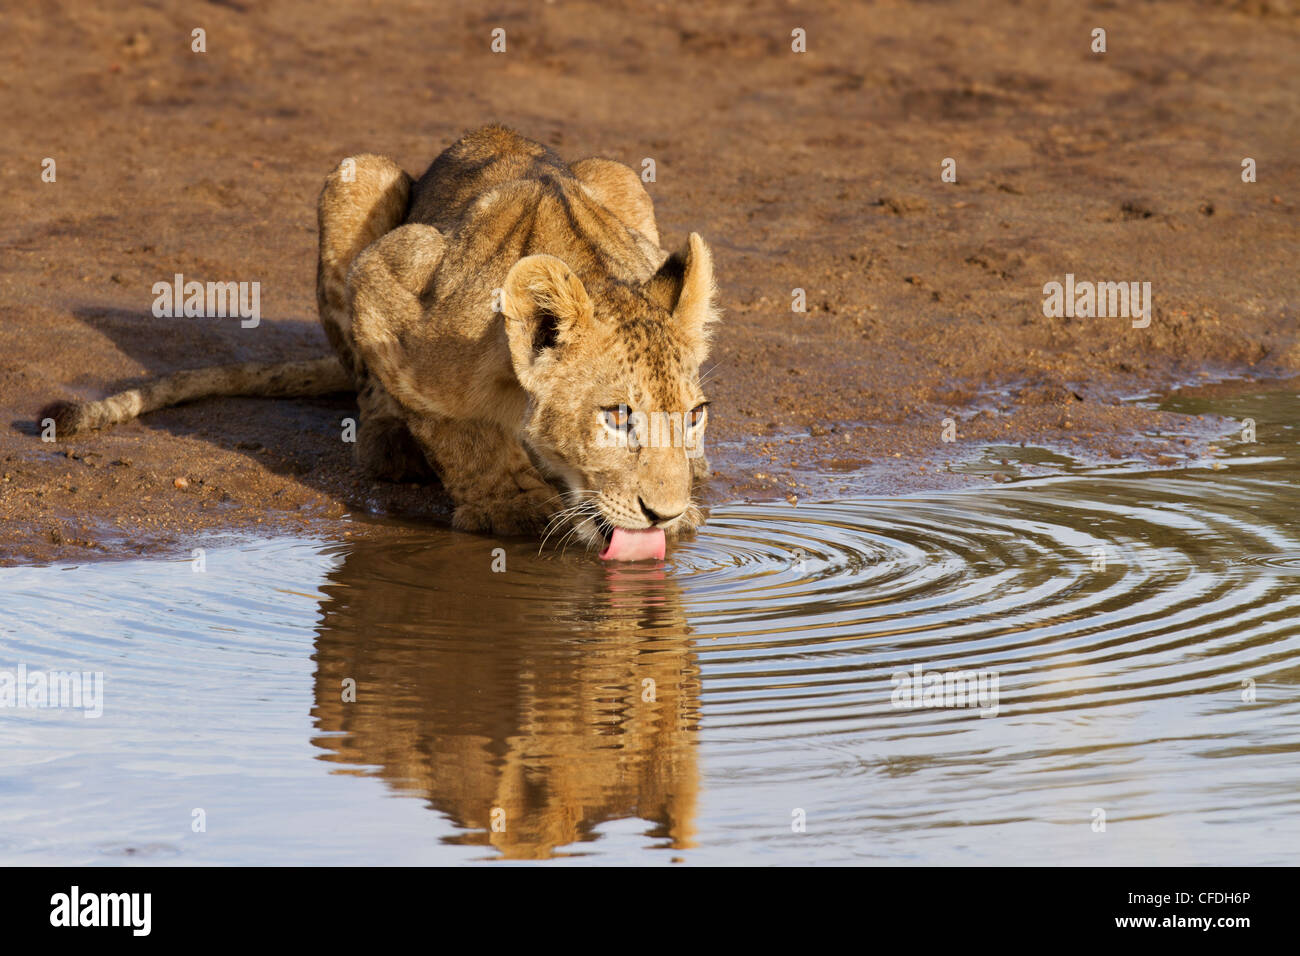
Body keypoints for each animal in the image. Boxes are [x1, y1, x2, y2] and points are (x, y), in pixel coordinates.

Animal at [41, 125, 720, 560]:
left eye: (693, 417)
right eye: (616, 416)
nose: (662, 514)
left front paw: (685, 504)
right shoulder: (387, 278)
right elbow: (456, 427)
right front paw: (509, 504)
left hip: (620, 175)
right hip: (357, 177)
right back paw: (390, 443)